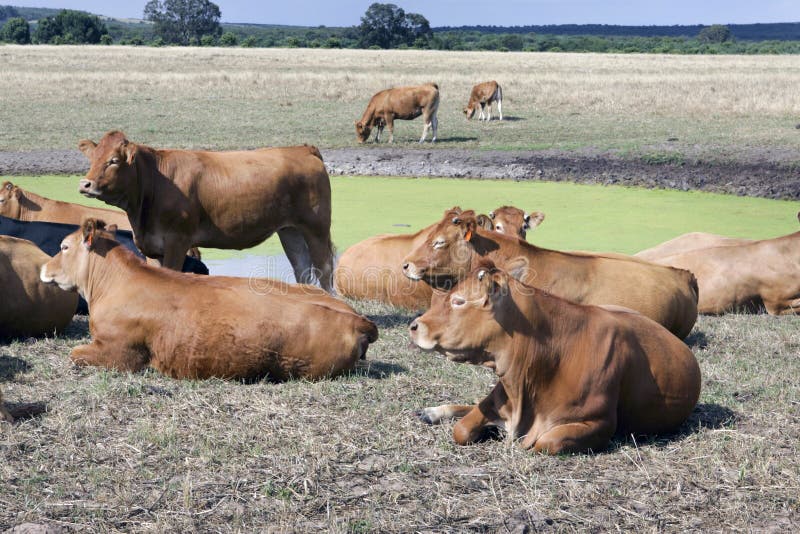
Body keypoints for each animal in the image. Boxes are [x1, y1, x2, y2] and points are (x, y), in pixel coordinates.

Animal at [40, 219, 378, 381]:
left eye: (64, 246)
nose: (43, 267)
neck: (113, 283)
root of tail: (357, 319)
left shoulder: (120, 354)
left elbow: (74, 353)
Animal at [76, 131, 334, 291]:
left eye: (113, 160)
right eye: (93, 158)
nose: (85, 184)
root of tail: (302, 149)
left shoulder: (177, 241)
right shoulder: (152, 246)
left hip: (317, 228)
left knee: (325, 271)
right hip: (290, 230)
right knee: (302, 269)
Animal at [409, 261, 701, 454]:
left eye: (458, 301)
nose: (414, 326)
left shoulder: (599, 422)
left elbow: (545, 442)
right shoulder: (497, 399)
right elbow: (461, 429)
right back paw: (431, 412)